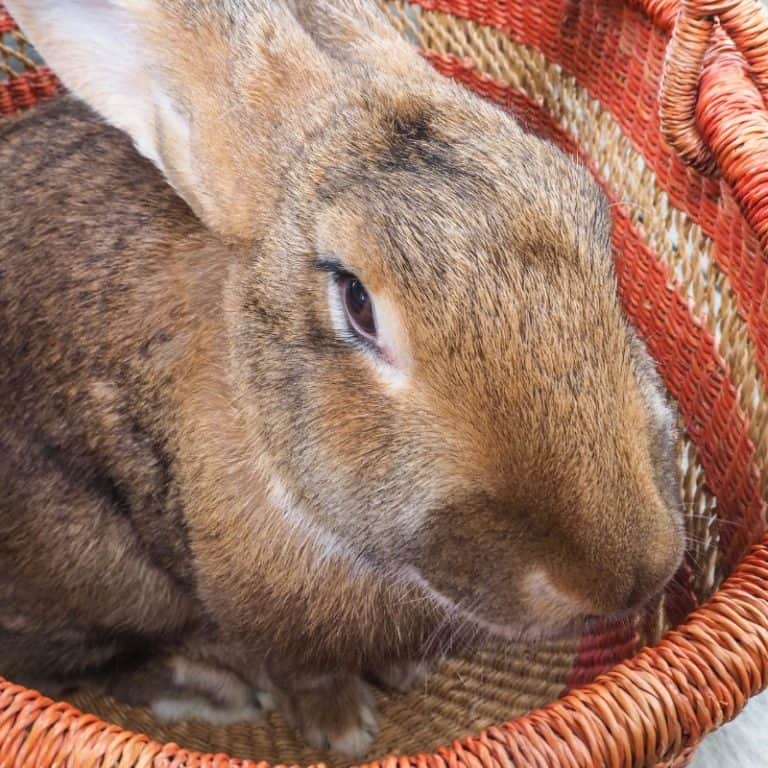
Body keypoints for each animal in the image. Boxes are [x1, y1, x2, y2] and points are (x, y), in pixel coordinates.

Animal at [0, 0, 685, 757]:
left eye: (590, 208)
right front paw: (343, 731)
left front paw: (406, 672)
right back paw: (212, 690)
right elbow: (305, 671)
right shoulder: (260, 620)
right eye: (357, 302)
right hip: (99, 574)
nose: (626, 577)